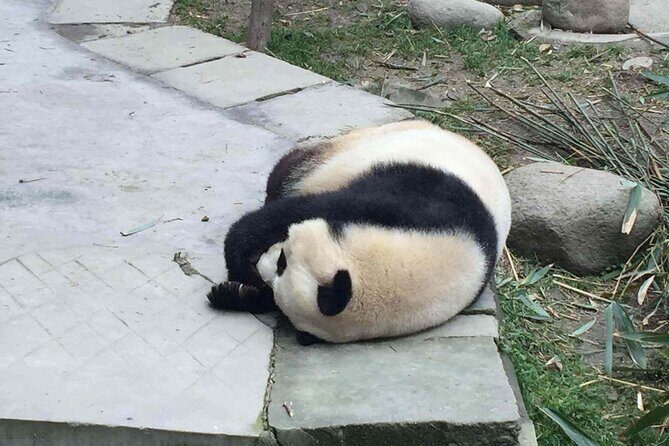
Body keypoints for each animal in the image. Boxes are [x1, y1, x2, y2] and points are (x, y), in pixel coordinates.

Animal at [208, 119, 511, 344]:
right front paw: (241, 267)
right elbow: (298, 211)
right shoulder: (420, 199)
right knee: (289, 171)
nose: (260, 266)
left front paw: (239, 292)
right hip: (351, 148)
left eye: (282, 264)